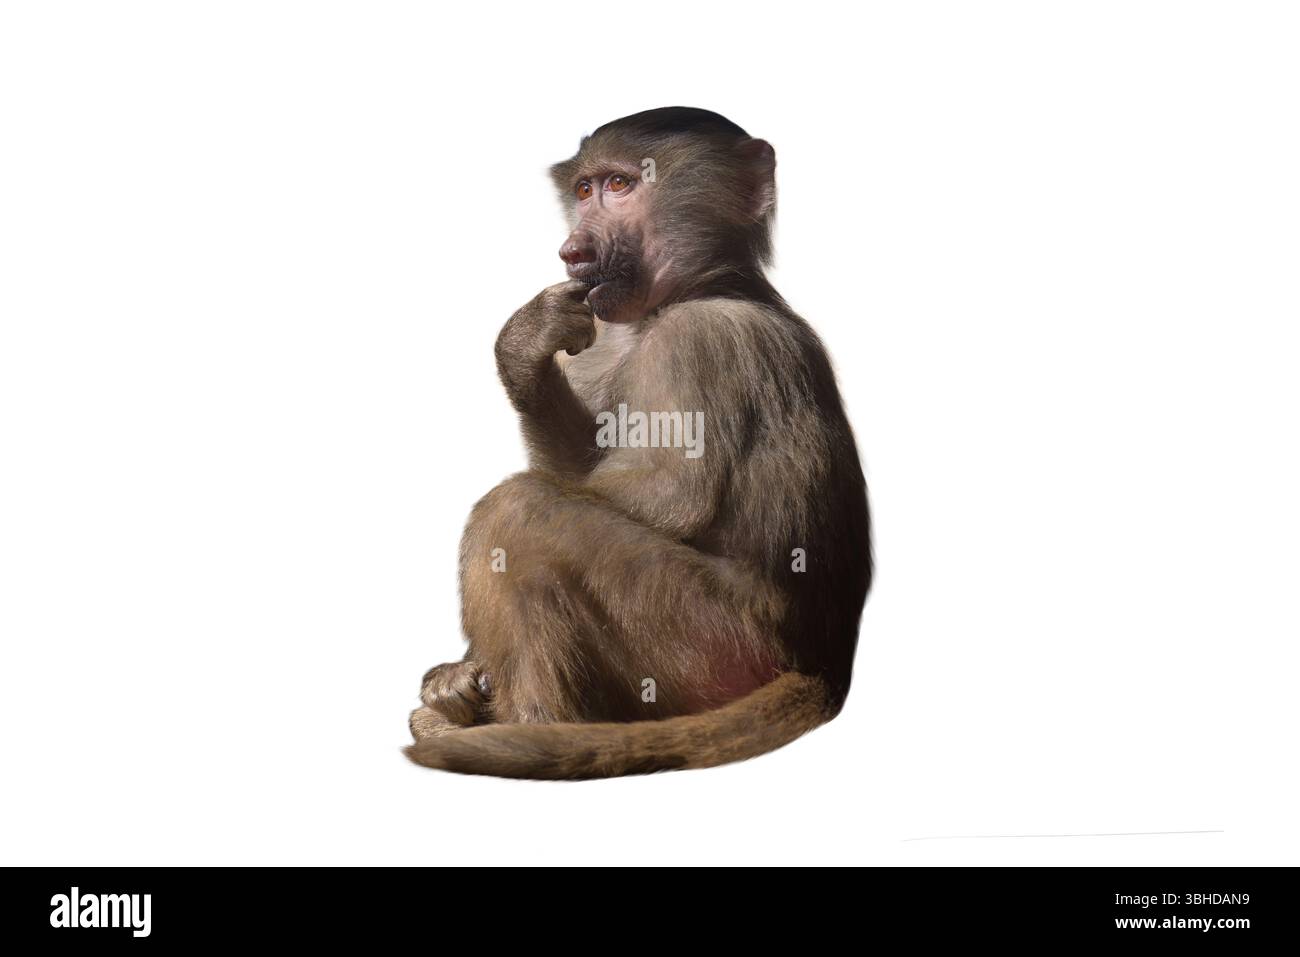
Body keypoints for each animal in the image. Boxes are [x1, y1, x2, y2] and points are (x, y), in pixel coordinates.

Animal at [406, 107, 872, 779]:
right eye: (584, 189)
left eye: (622, 185)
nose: (573, 251)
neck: (695, 290)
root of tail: (823, 668)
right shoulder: (596, 336)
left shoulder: (698, 341)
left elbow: (663, 495)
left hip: (715, 645)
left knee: (519, 513)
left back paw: (530, 730)